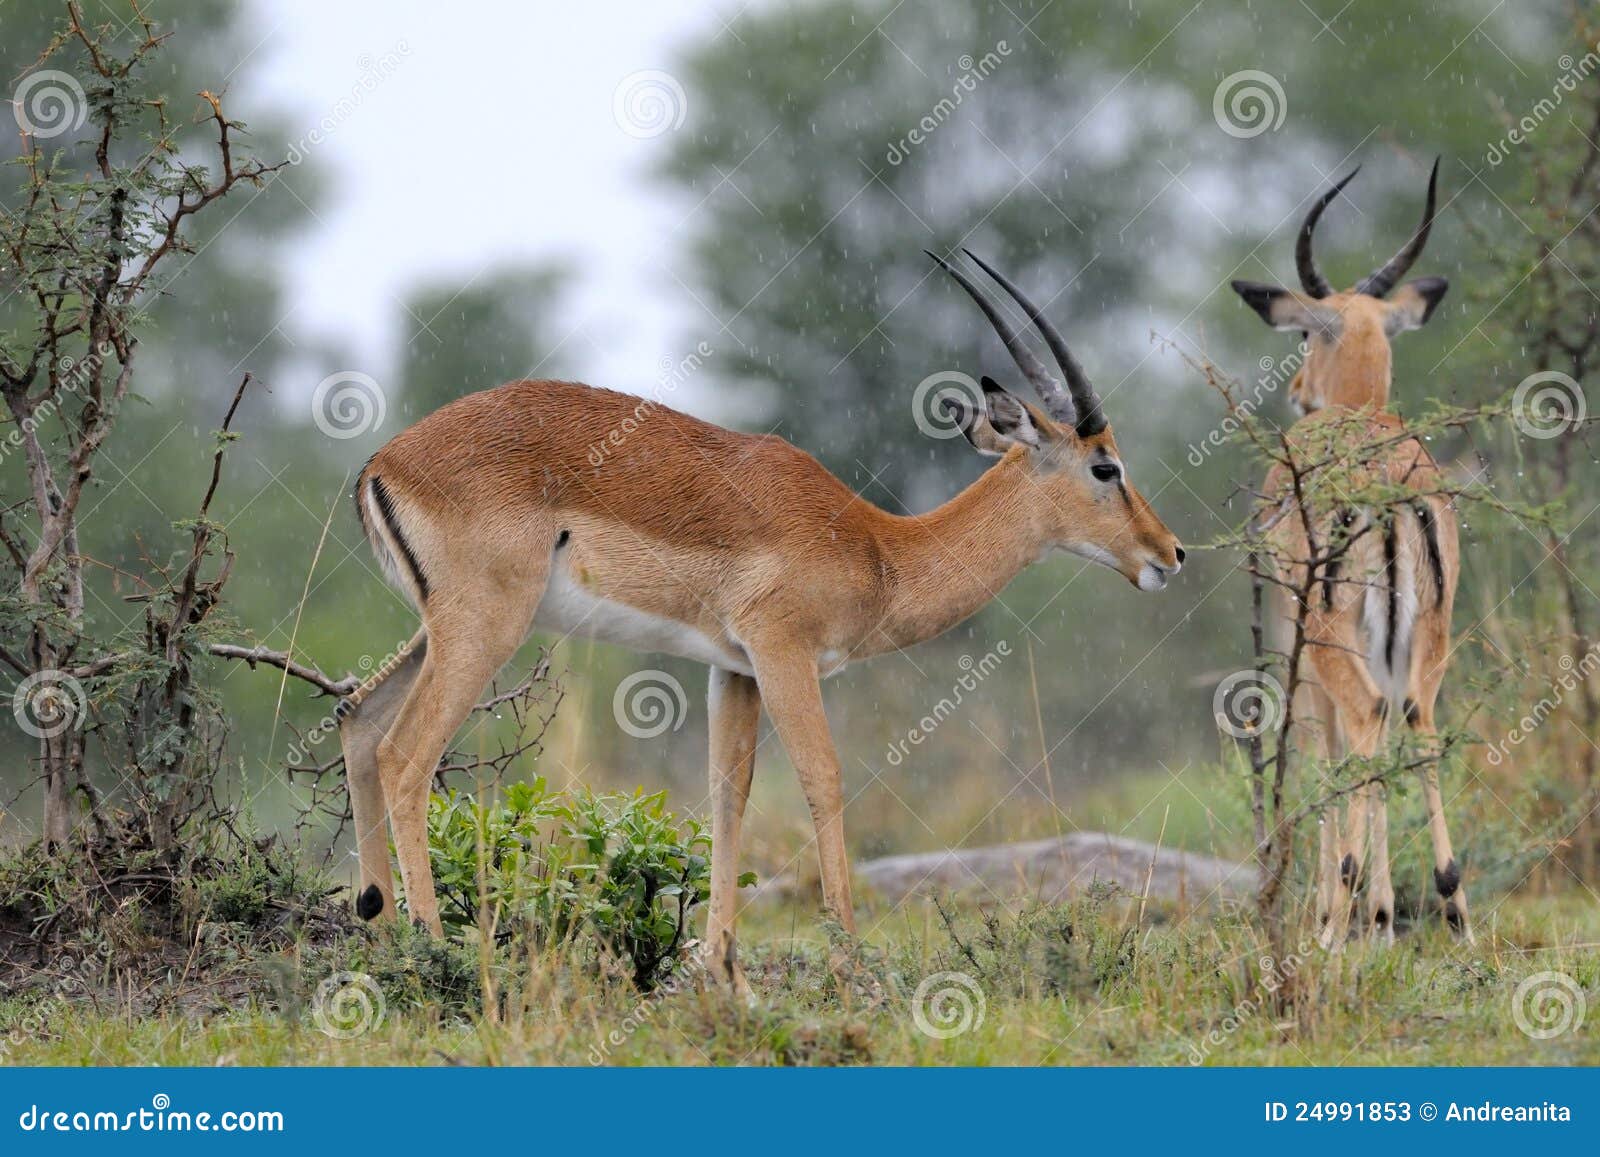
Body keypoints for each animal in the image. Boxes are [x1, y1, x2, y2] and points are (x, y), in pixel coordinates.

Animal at [335, 250, 1183, 988]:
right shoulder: (783, 651)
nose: (1170, 552)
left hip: (444, 628)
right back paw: (436, 950)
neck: (878, 548)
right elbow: (823, 777)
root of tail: (383, 461)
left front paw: (723, 968)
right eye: (1105, 465)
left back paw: (380, 923)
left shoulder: (731, 666)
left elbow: (726, 792)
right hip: (485, 626)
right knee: (406, 754)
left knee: (358, 716)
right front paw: (847, 957)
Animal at [1231, 160, 1469, 947]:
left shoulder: (1297, 636)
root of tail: (1390, 490)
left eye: (1308, 331)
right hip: (1427, 636)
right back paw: (1452, 906)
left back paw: (1340, 909)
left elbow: (1319, 747)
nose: (1298, 391)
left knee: (1363, 718)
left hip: (1335, 633)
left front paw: (1340, 912)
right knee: (1416, 721)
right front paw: (1385, 914)